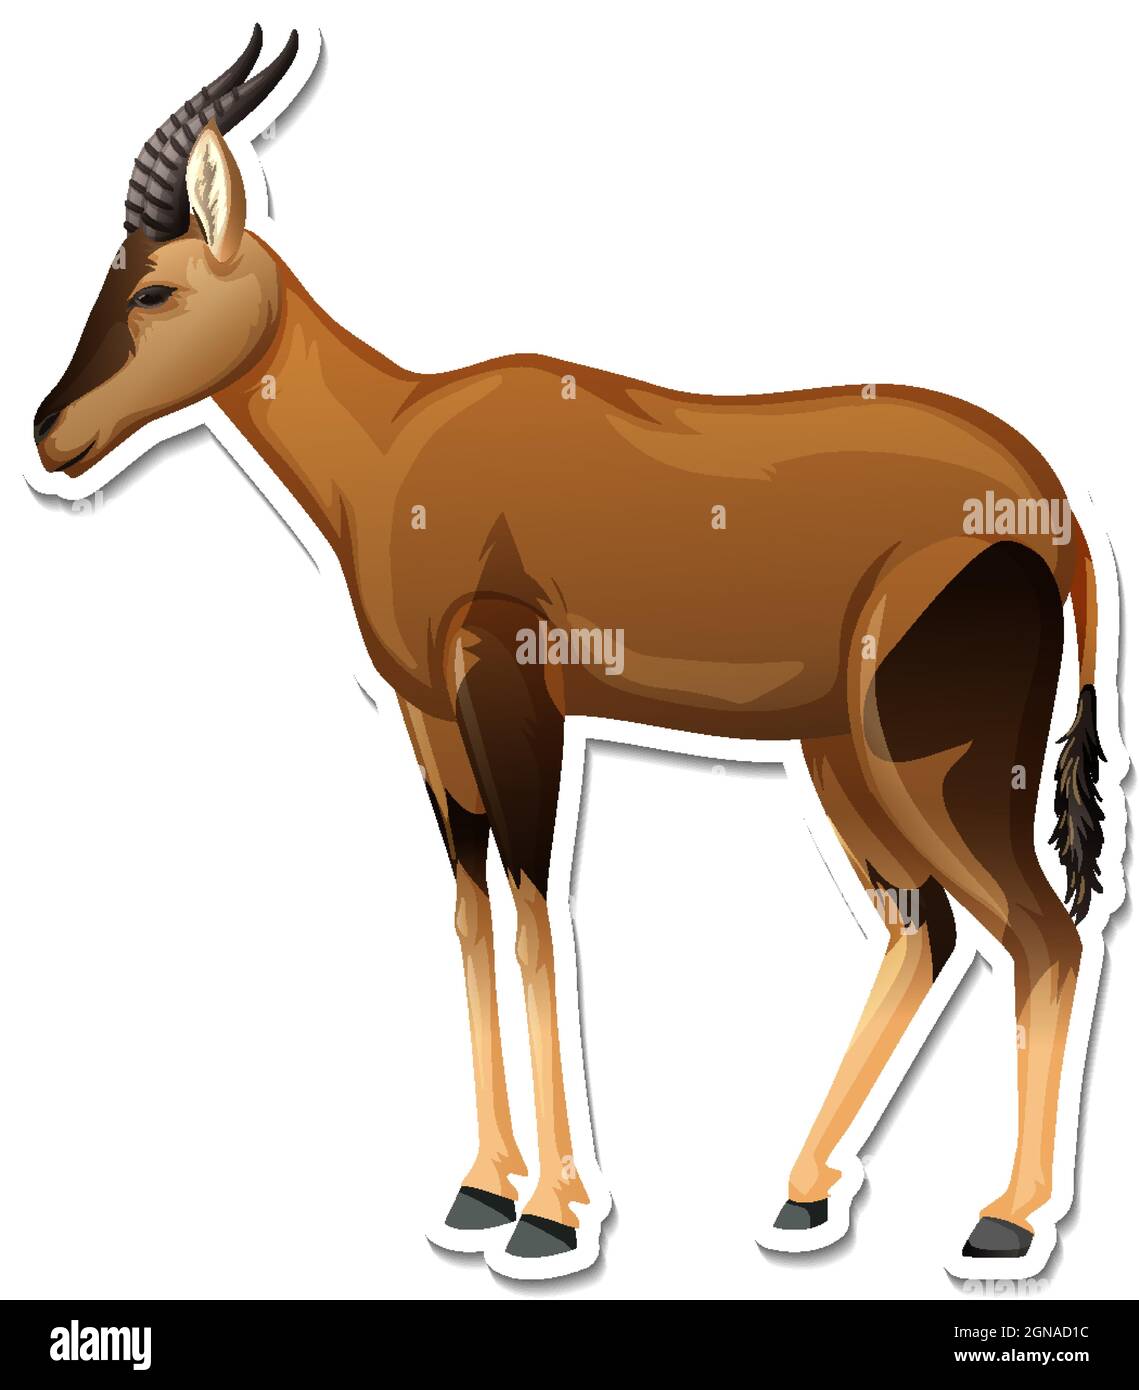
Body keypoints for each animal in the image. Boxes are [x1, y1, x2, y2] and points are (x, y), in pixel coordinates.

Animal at [33, 26, 1115, 1280]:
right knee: (920, 928)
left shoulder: (512, 699)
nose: (49, 436)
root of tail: (1055, 513)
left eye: (155, 285)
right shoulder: (430, 722)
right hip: (839, 757)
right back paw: (800, 1198)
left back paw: (1001, 1221)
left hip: (933, 763)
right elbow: (470, 915)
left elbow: (537, 912)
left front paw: (549, 1216)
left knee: (1039, 935)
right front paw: (475, 1192)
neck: (403, 438)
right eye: (110, 277)